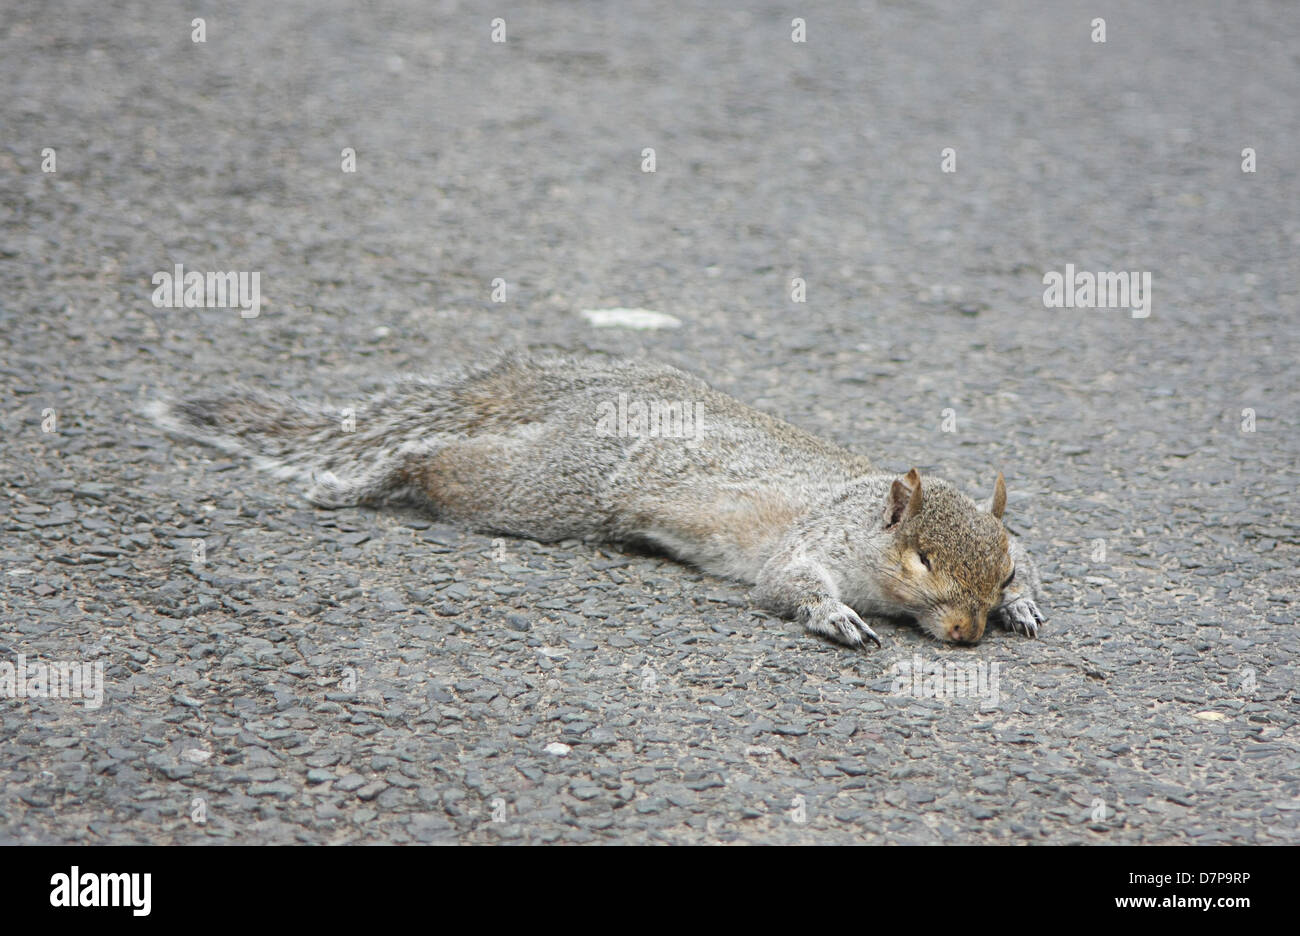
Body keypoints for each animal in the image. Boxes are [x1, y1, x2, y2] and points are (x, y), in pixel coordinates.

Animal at [148, 351, 1046, 648]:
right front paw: (832, 616)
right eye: (921, 558)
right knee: (445, 466)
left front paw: (1026, 606)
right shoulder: (814, 539)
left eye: (998, 570)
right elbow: (786, 582)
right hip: (549, 491)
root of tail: (600, 391)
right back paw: (385, 474)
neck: (864, 517)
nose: (967, 635)